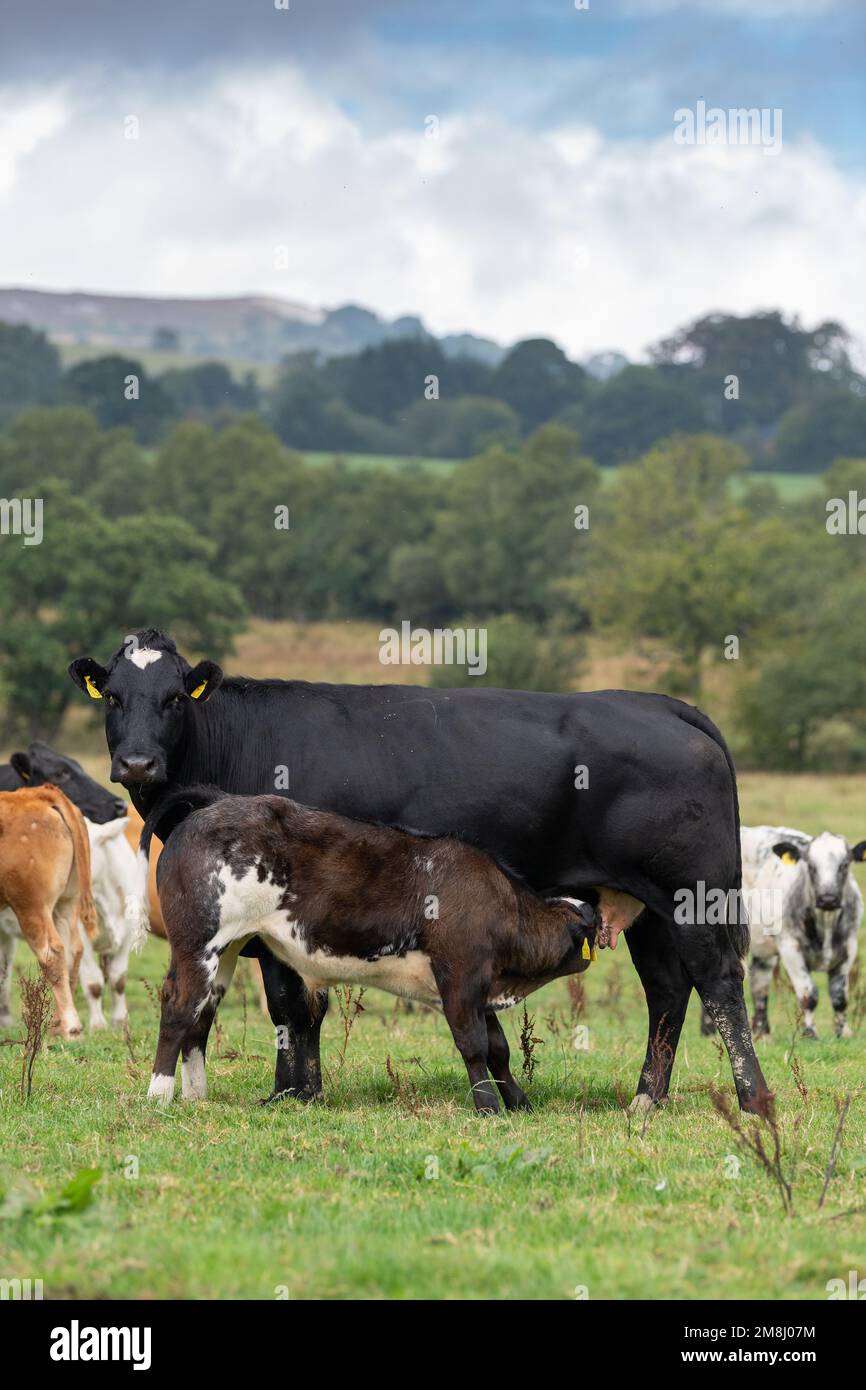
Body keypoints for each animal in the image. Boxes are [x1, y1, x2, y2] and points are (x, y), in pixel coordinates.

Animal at [0, 786, 97, 1038]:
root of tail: (38, 793)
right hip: (66, 903)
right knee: (73, 950)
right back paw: (57, 1024)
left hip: (31, 905)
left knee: (51, 952)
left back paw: (71, 1026)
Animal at [142, 785, 599, 1113]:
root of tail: (215, 805)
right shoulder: (459, 974)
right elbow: (474, 1045)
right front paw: (488, 1106)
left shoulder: (480, 983)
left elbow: (500, 1049)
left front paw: (519, 1102)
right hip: (198, 945)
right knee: (179, 1007)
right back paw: (159, 1094)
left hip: (226, 950)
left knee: (201, 1015)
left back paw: (196, 1095)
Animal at [742, 826, 864, 1039]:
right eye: (811, 866)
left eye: (844, 864)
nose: (828, 898)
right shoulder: (791, 948)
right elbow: (809, 994)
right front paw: (809, 1033)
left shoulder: (848, 948)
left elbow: (839, 997)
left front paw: (843, 1032)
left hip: (762, 948)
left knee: (759, 984)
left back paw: (763, 1034)